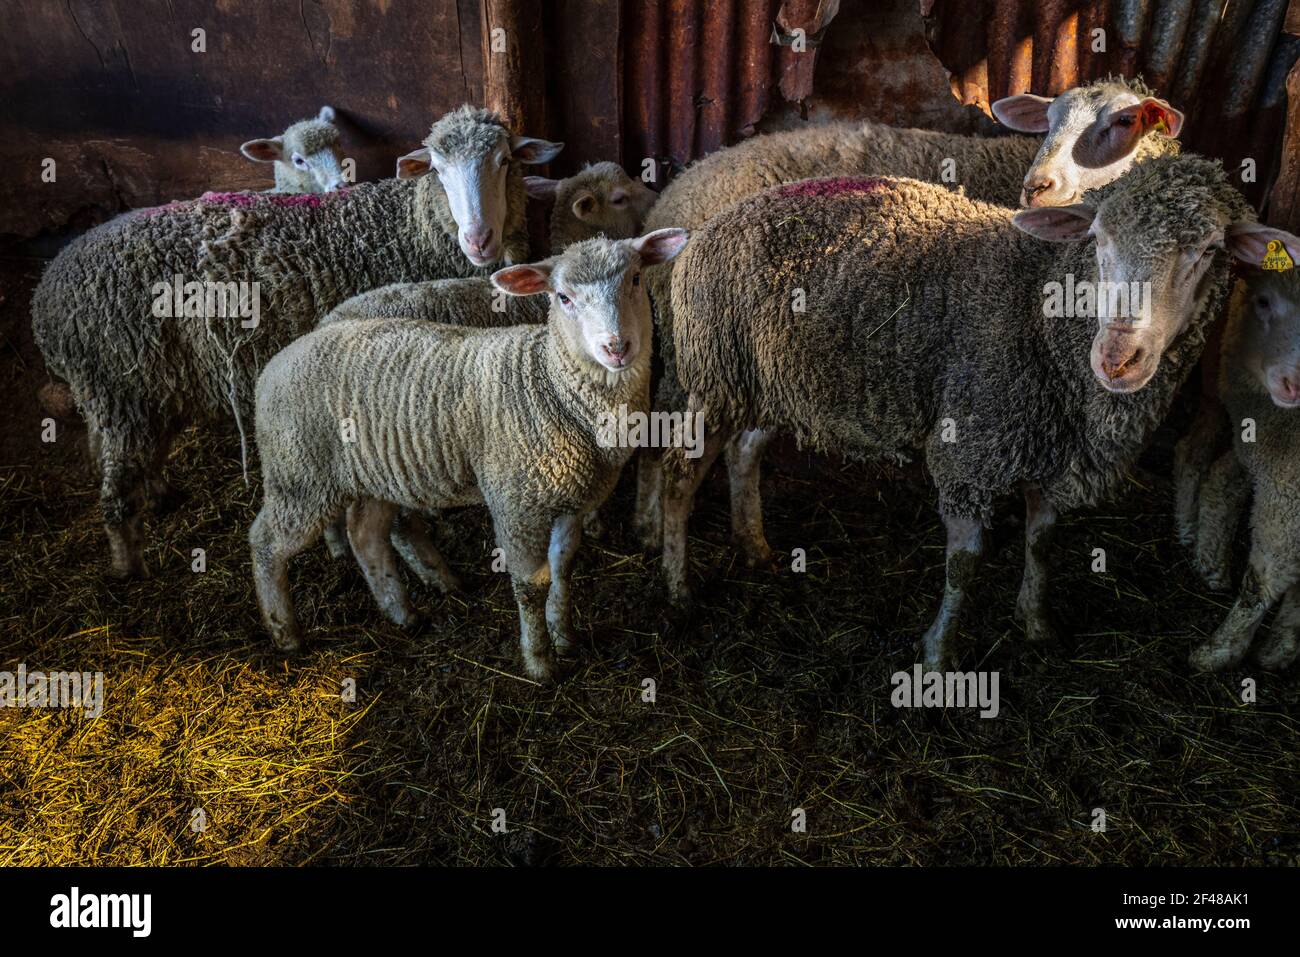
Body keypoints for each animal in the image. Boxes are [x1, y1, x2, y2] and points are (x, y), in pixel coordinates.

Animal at [31, 104, 563, 578]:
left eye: (504, 160)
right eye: (437, 169)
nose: (478, 240)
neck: (407, 226)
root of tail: (46, 293)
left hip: (145, 393)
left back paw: (161, 496)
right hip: (118, 395)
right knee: (116, 490)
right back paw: (128, 566)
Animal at [249, 229, 689, 680]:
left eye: (635, 278)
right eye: (563, 297)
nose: (616, 346)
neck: (549, 385)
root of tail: (278, 362)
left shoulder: (572, 501)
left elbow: (564, 571)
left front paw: (565, 637)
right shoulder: (518, 505)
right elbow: (531, 587)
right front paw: (539, 663)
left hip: (374, 475)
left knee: (366, 535)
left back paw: (404, 613)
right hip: (300, 476)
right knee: (266, 542)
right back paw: (285, 633)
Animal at [637, 75, 1186, 563]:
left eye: (1125, 120)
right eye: (1048, 121)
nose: (1038, 187)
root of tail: (675, 195)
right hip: (706, 348)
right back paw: (653, 531)